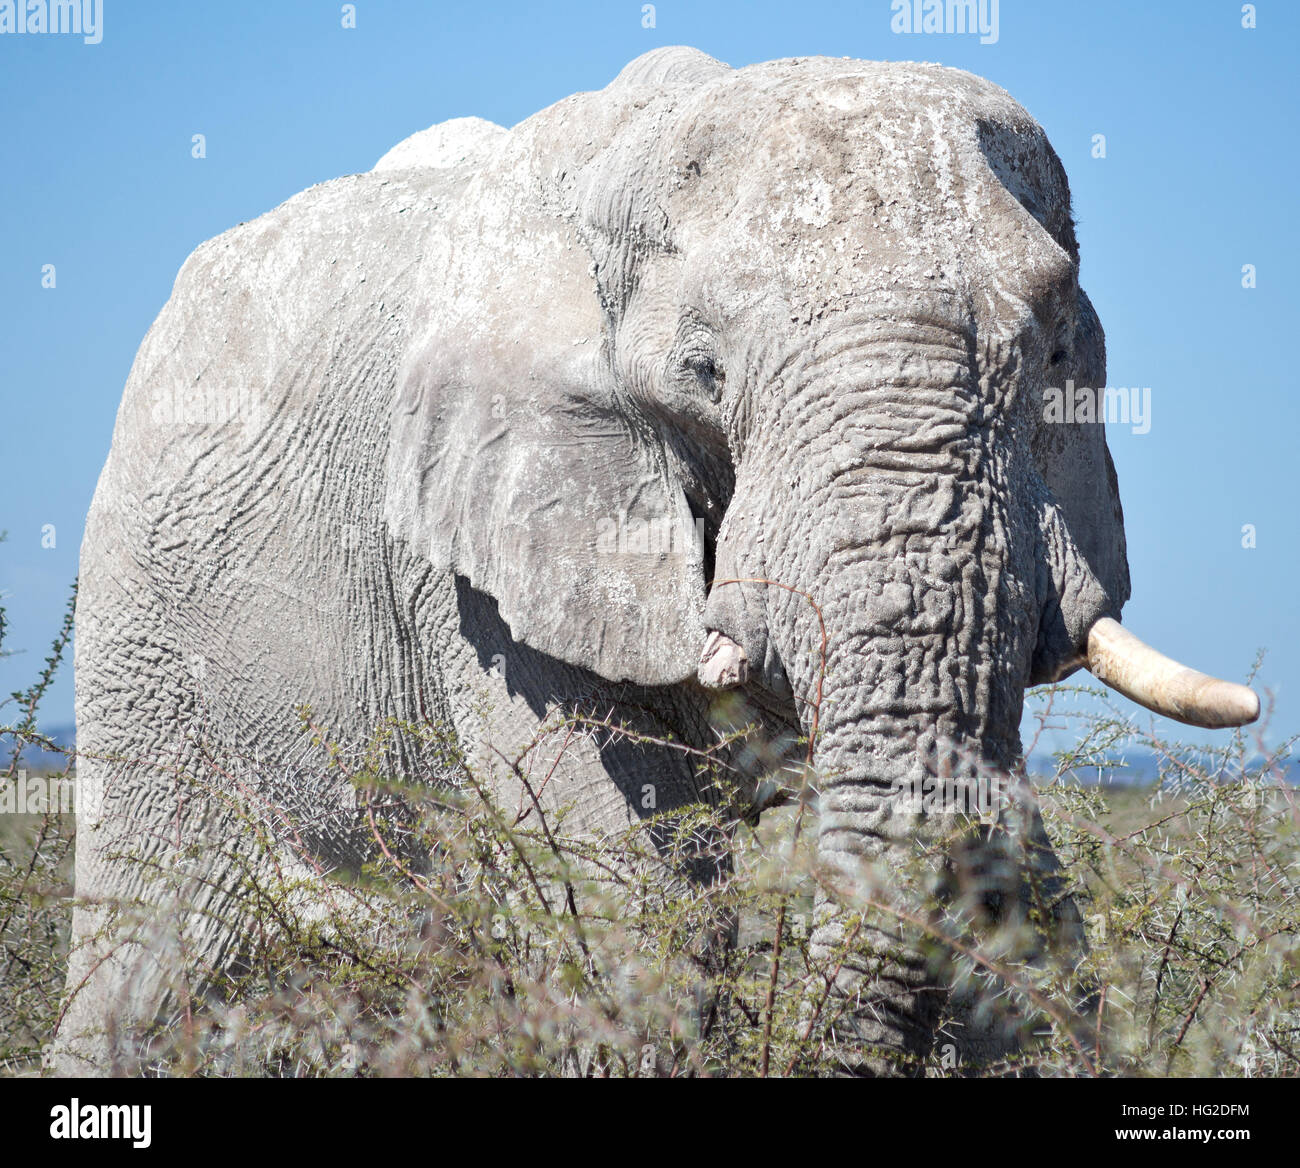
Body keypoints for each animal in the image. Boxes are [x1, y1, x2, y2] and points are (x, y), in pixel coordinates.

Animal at [56, 46, 1258, 1076]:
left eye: (1057, 349)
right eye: (703, 369)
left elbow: (1030, 896)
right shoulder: (477, 574)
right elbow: (638, 915)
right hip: (141, 620)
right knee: (145, 965)